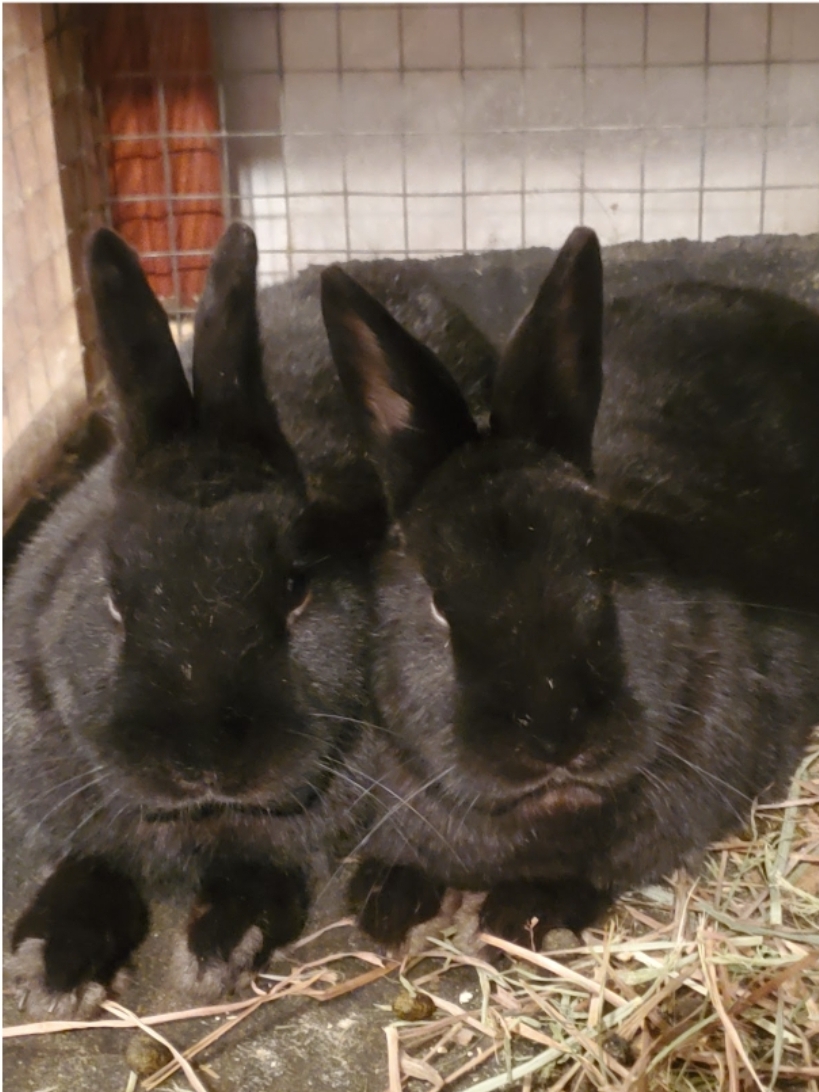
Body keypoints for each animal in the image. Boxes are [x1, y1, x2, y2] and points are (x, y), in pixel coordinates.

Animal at [2, 222, 395, 1019]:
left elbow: (260, 875)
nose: (203, 761)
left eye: (296, 587)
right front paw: (50, 970)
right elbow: (90, 869)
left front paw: (216, 952)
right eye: (113, 594)